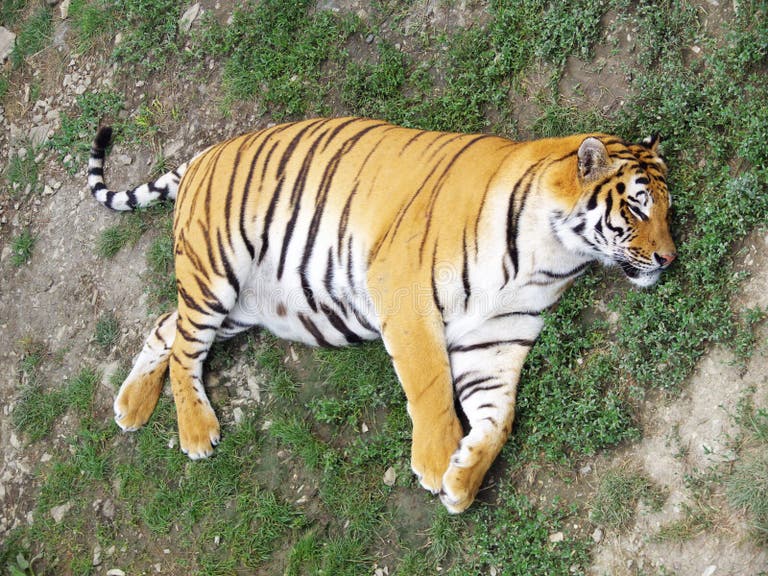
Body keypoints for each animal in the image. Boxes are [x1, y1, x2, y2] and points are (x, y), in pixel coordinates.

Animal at [87, 117, 676, 513]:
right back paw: (195, 431)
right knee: (185, 347)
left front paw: (463, 479)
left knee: (165, 327)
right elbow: (430, 384)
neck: (552, 255)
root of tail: (205, 154)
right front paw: (437, 464)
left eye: (669, 210)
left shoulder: (498, 338)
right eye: (637, 206)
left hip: (238, 306)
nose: (669, 258)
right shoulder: (404, 290)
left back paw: (131, 406)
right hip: (215, 272)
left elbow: (498, 418)